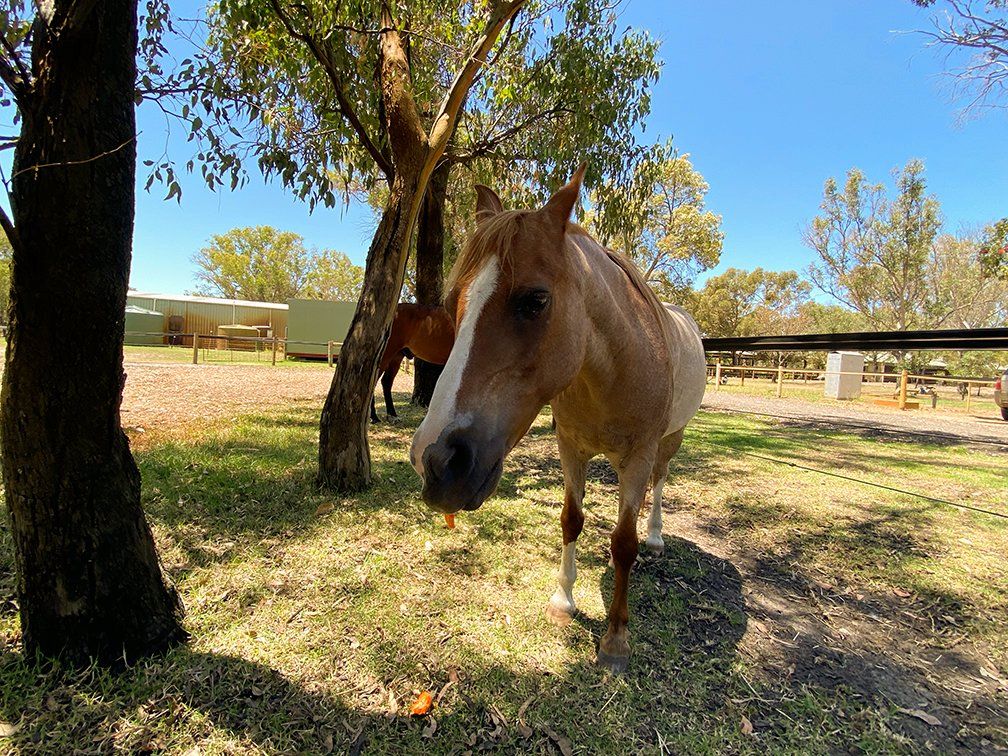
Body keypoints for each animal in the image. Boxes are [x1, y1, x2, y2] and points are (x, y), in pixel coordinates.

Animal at [409, 166, 706, 672]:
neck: (614, 369)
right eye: (454, 306)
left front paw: (615, 639)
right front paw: (564, 599)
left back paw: (655, 537)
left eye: (535, 300)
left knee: (660, 484)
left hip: (670, 441)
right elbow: (571, 519)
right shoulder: (571, 448)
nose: (435, 460)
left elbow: (623, 542)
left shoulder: (638, 455)